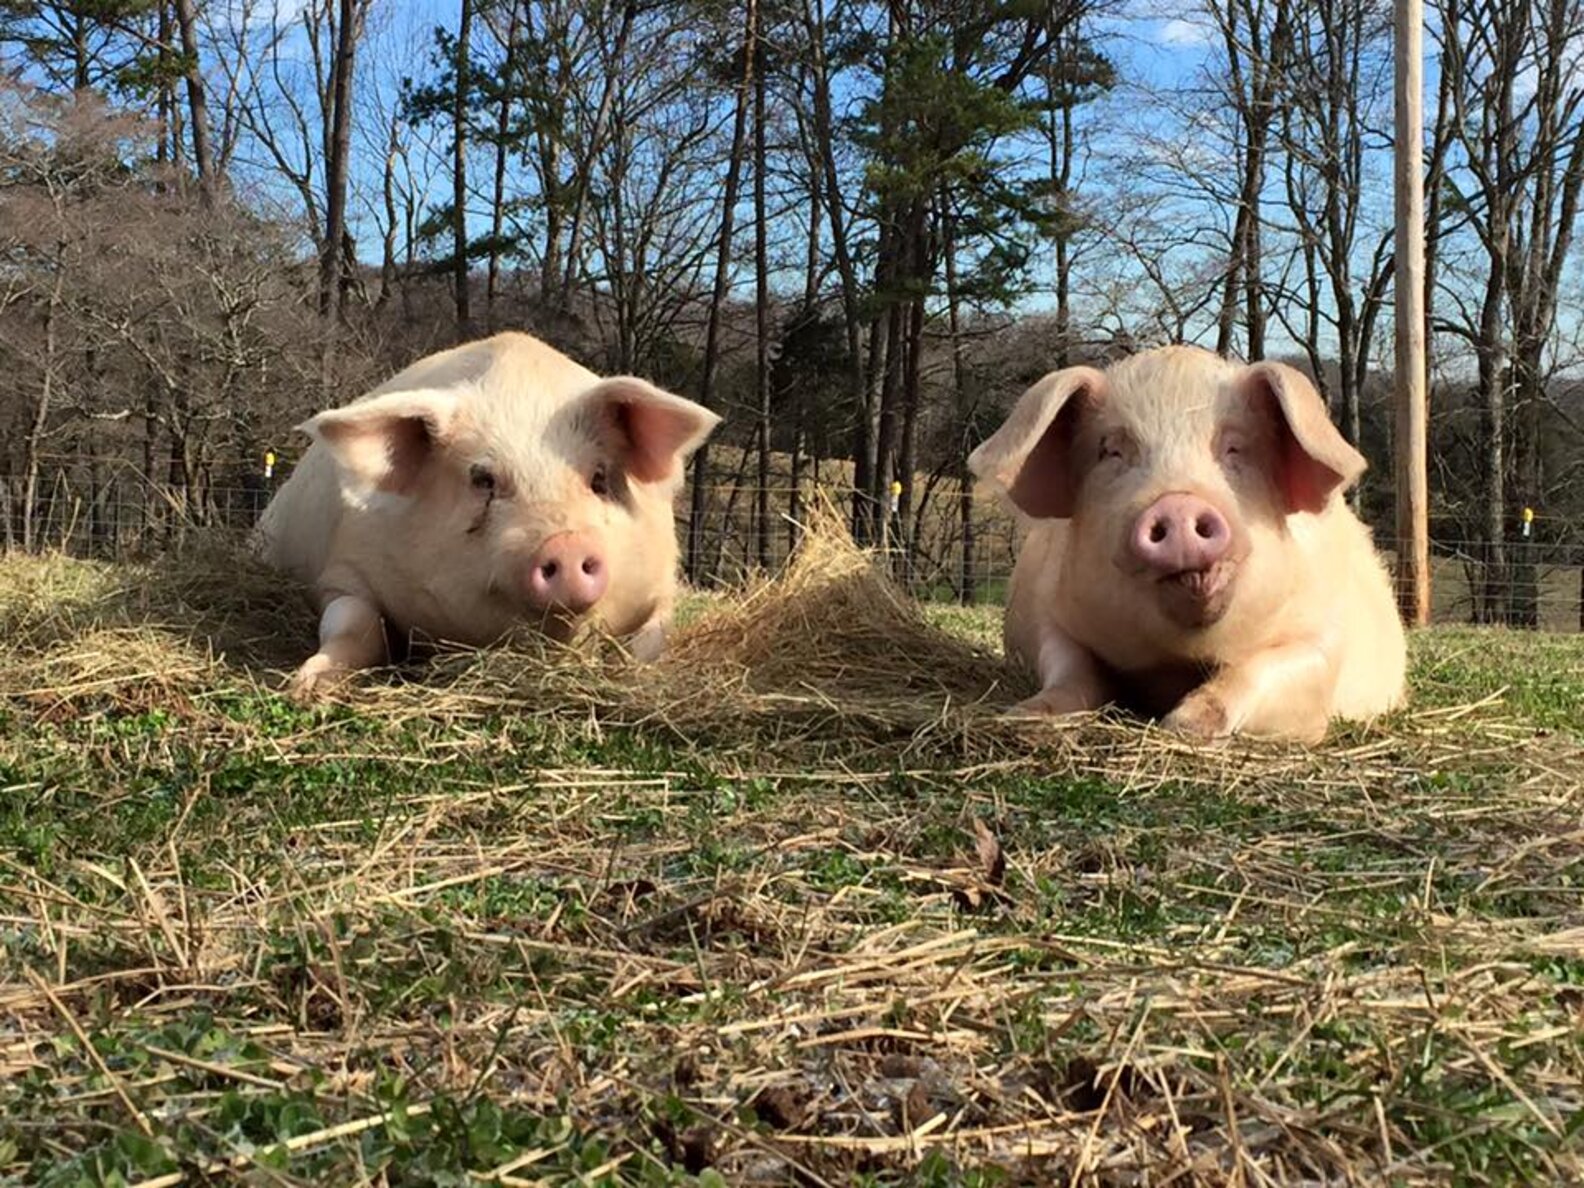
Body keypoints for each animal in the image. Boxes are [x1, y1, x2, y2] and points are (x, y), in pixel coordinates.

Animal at [254, 331, 720, 700]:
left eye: (599, 478)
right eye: (483, 479)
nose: (566, 543)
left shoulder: (663, 580)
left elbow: (653, 637)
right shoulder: (342, 571)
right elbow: (354, 623)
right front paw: (306, 689)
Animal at [968, 345, 1407, 743]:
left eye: (1234, 448)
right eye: (1111, 451)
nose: (1178, 505)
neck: (1176, 663)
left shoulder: (1322, 636)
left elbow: (1259, 670)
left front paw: (1183, 725)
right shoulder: (1050, 615)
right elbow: (1068, 669)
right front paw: (1023, 717)